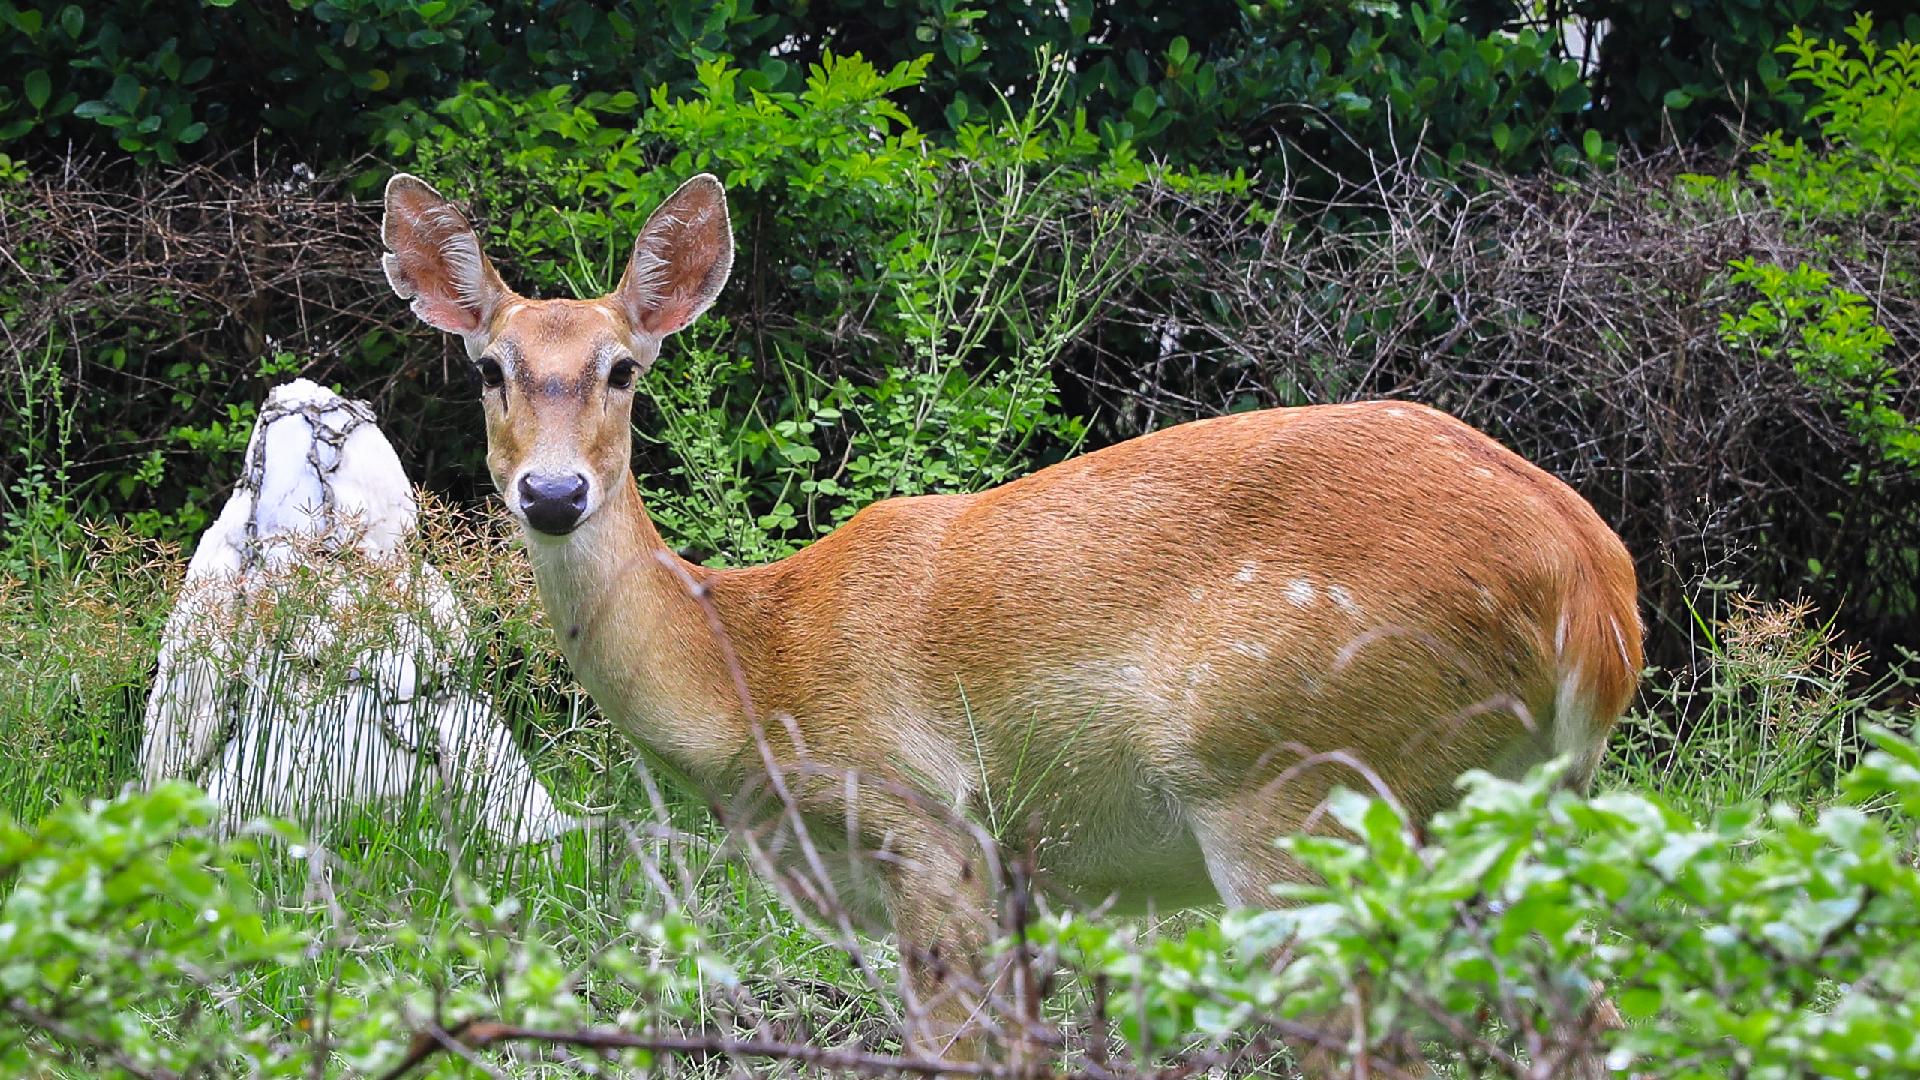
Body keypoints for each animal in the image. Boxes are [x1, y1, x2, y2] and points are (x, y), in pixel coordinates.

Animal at [380, 171, 1643, 1073]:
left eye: (623, 370)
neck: (749, 673)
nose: (552, 494)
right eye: (489, 367)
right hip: (1502, 813)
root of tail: (1597, 587)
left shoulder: (928, 825)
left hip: (1297, 780)